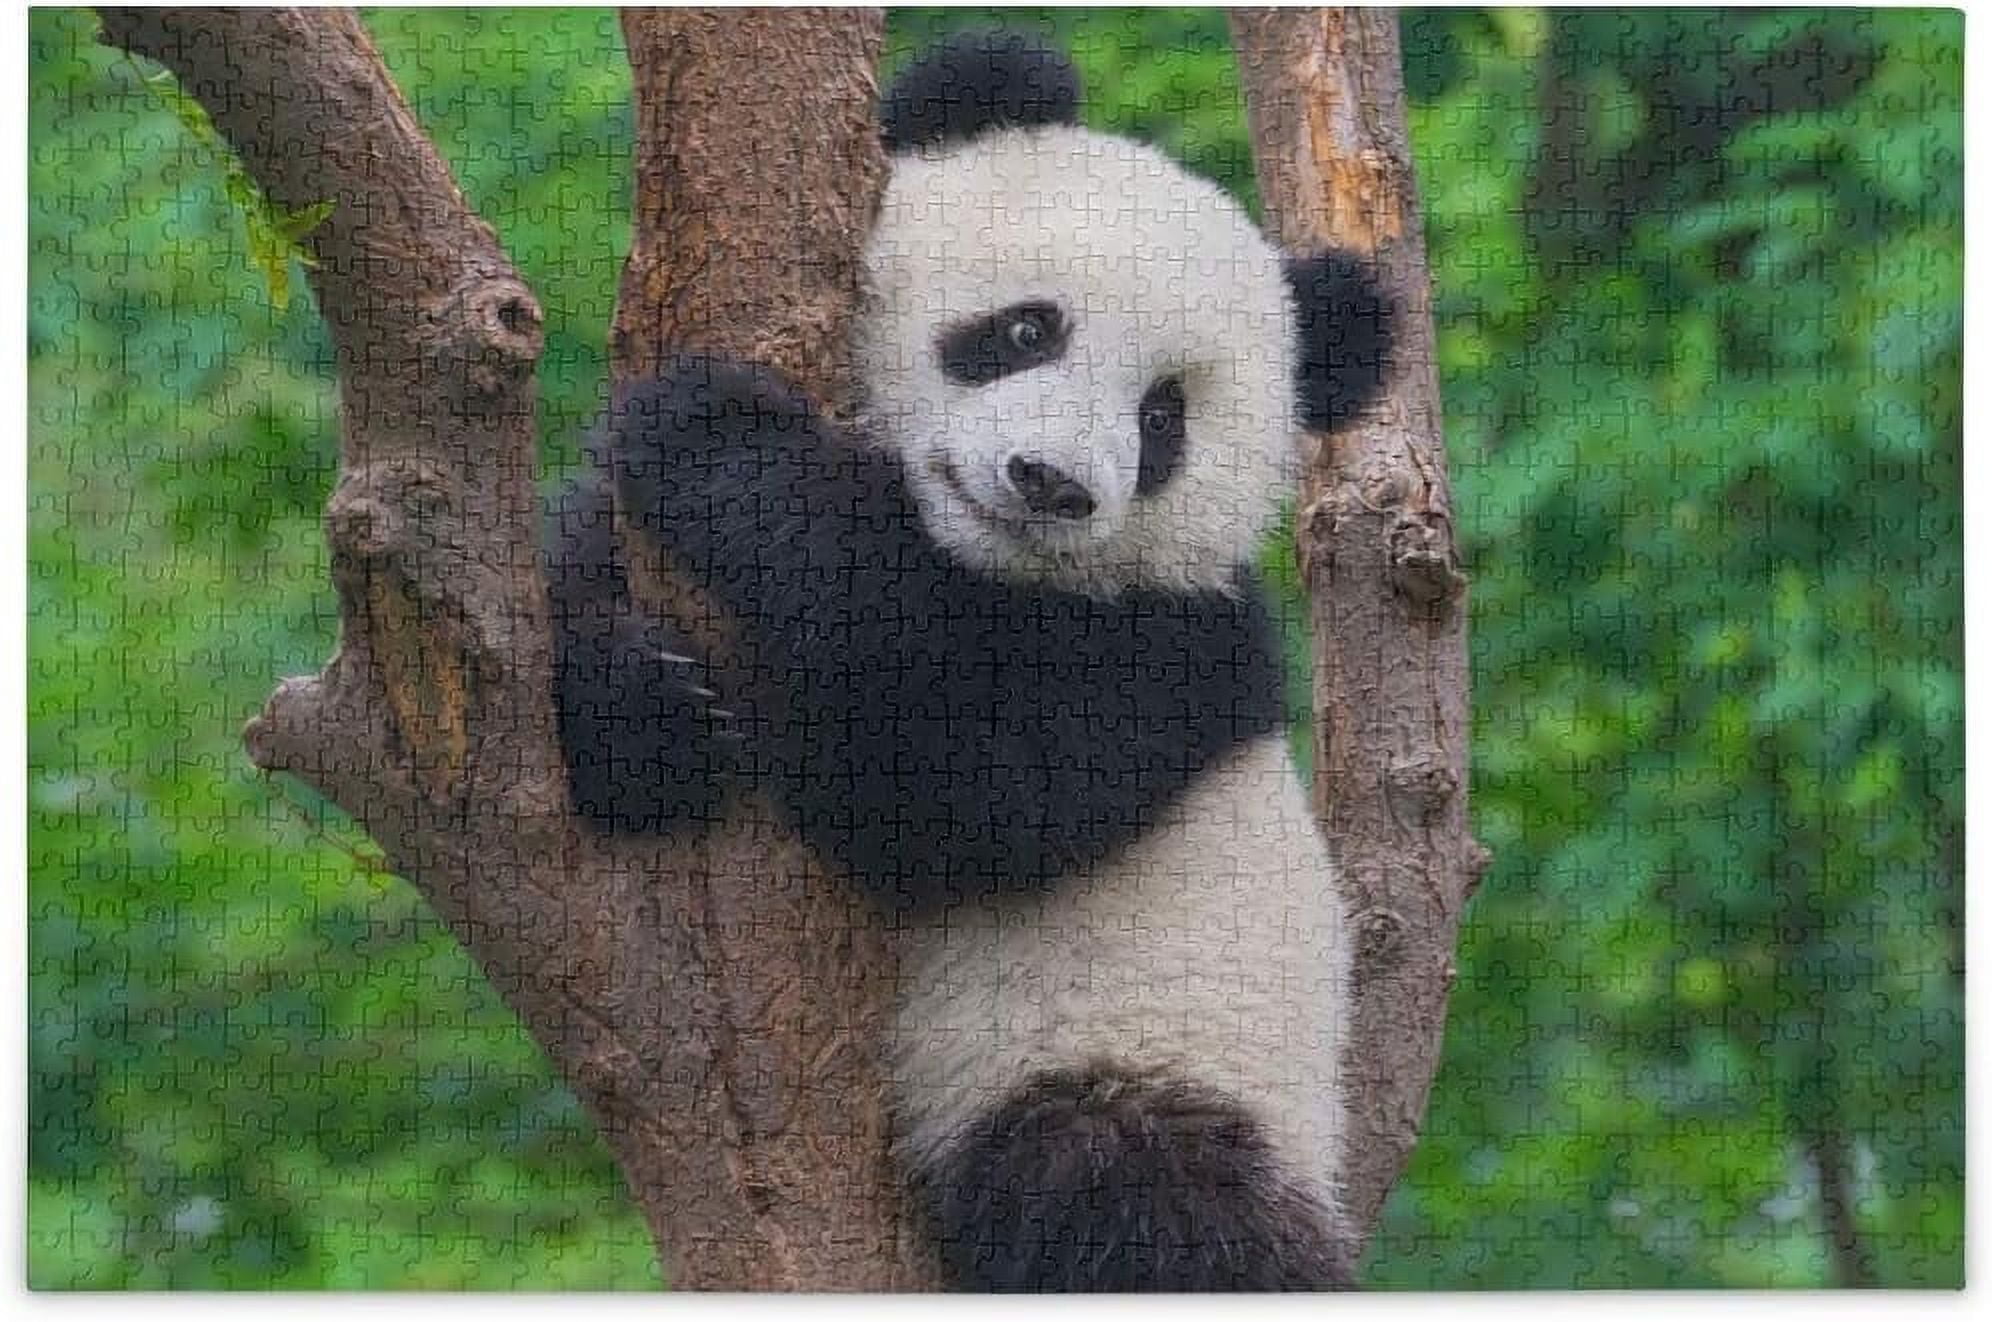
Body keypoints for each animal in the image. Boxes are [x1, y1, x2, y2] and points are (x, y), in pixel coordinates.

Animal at [548, 32, 1395, 1292]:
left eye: (1162, 418)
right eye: (1028, 329)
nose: (1050, 482)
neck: (971, 560)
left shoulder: (1175, 652)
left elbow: (972, 799)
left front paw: (720, 445)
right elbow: (562, 607)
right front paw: (645, 707)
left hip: (1144, 1064)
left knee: (1133, 1200)